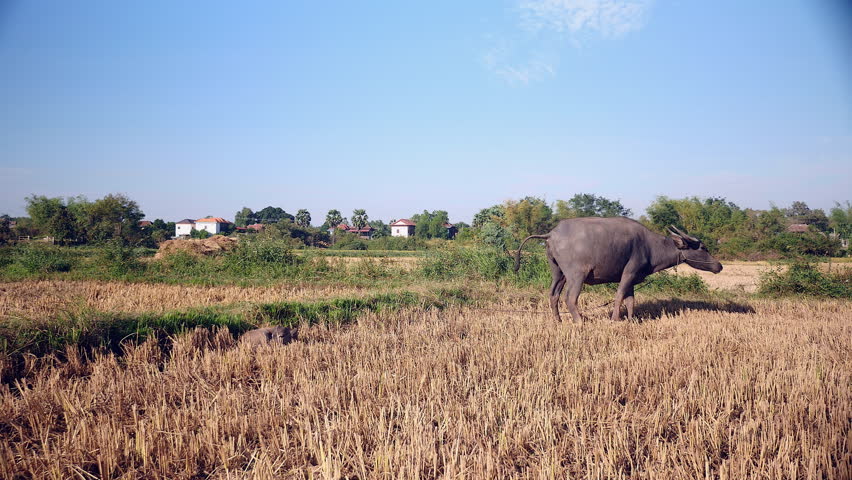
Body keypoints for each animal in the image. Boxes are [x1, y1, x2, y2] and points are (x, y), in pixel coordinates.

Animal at [514, 217, 722, 322]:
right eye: (703, 248)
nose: (719, 266)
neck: (651, 247)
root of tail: (551, 234)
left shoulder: (633, 278)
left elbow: (630, 300)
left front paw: (631, 319)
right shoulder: (629, 273)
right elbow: (619, 296)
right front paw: (615, 319)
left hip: (558, 273)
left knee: (553, 295)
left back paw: (558, 321)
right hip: (576, 275)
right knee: (570, 298)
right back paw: (580, 321)